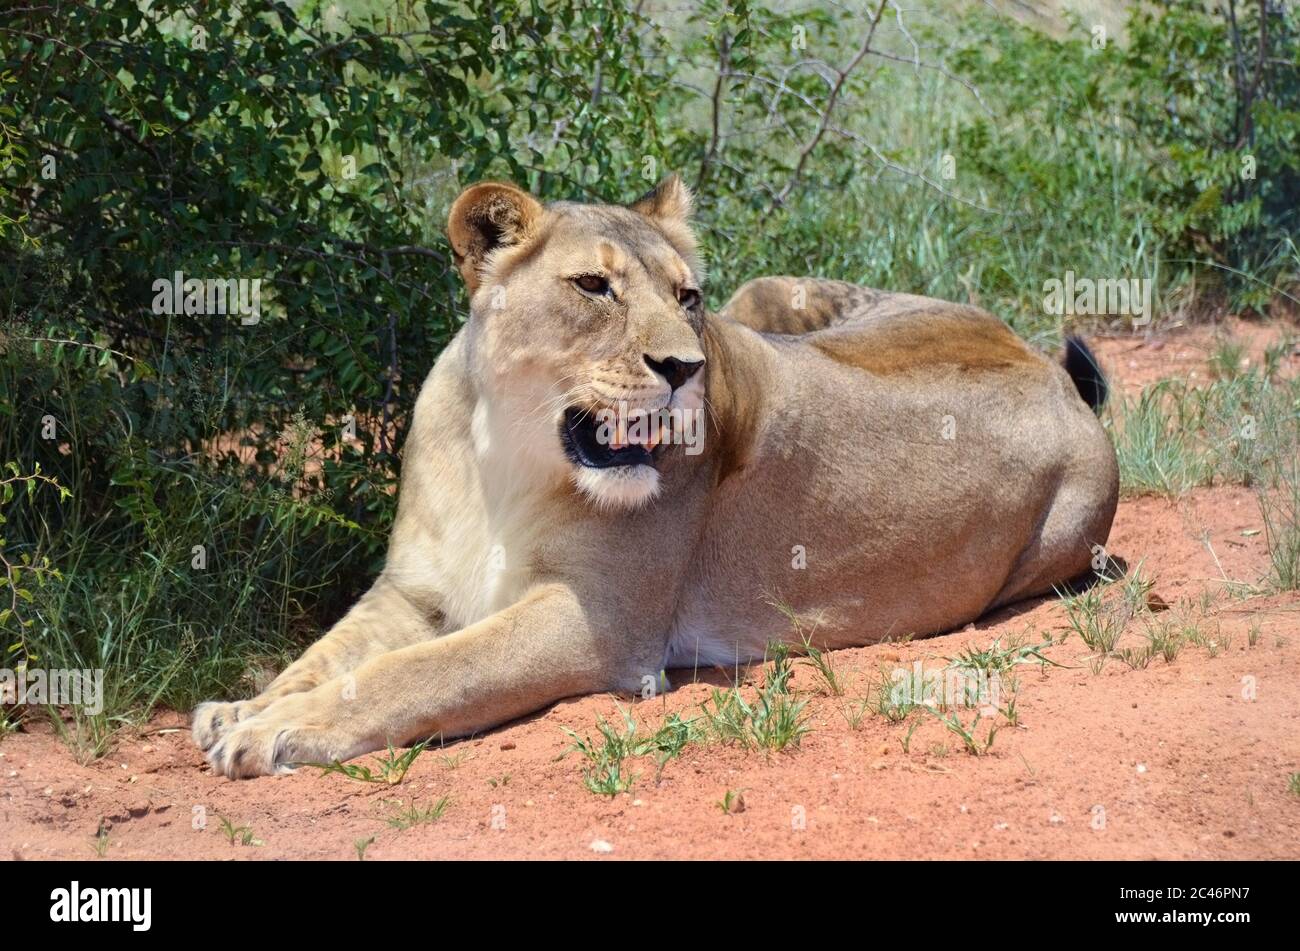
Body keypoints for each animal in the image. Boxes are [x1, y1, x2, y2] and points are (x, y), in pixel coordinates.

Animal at [193, 175, 1118, 778]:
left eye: (686, 295)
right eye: (593, 286)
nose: (684, 367)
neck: (508, 452)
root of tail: (1047, 369)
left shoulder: (597, 622)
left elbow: (418, 673)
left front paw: (279, 730)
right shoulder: (410, 592)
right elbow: (328, 653)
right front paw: (246, 707)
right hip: (771, 291)